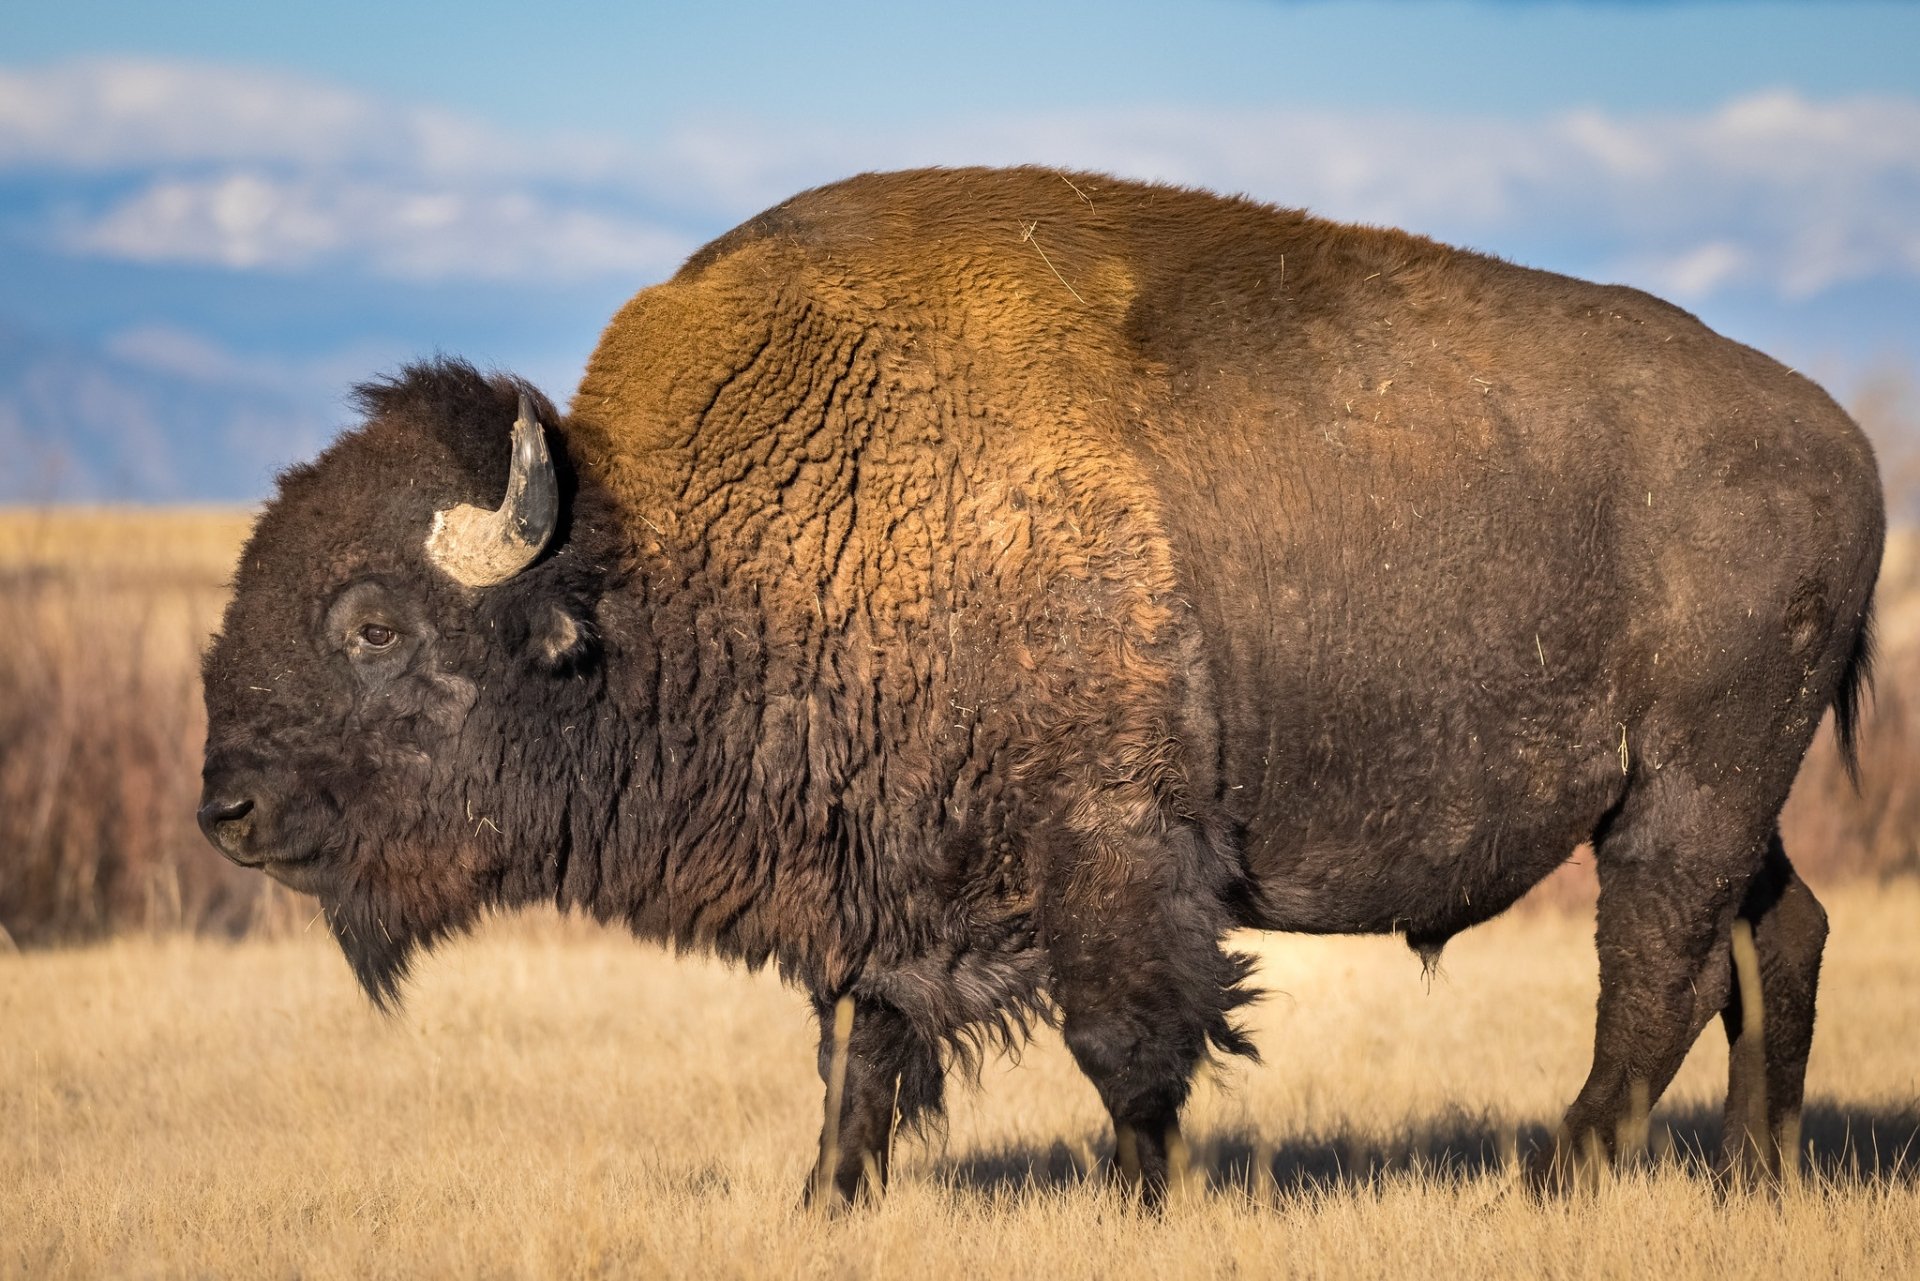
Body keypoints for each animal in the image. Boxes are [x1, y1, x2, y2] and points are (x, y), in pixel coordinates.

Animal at [199, 167, 1882, 1206]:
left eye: (369, 623)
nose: (224, 808)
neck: (668, 556)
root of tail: (1842, 441)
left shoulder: (1113, 853)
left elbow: (1128, 1044)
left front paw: (1146, 1201)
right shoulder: (870, 875)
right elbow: (857, 1051)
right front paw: (824, 1203)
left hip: (1681, 792)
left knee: (1661, 966)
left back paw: (1557, 1174)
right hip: (1714, 802)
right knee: (1777, 936)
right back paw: (1753, 1175)